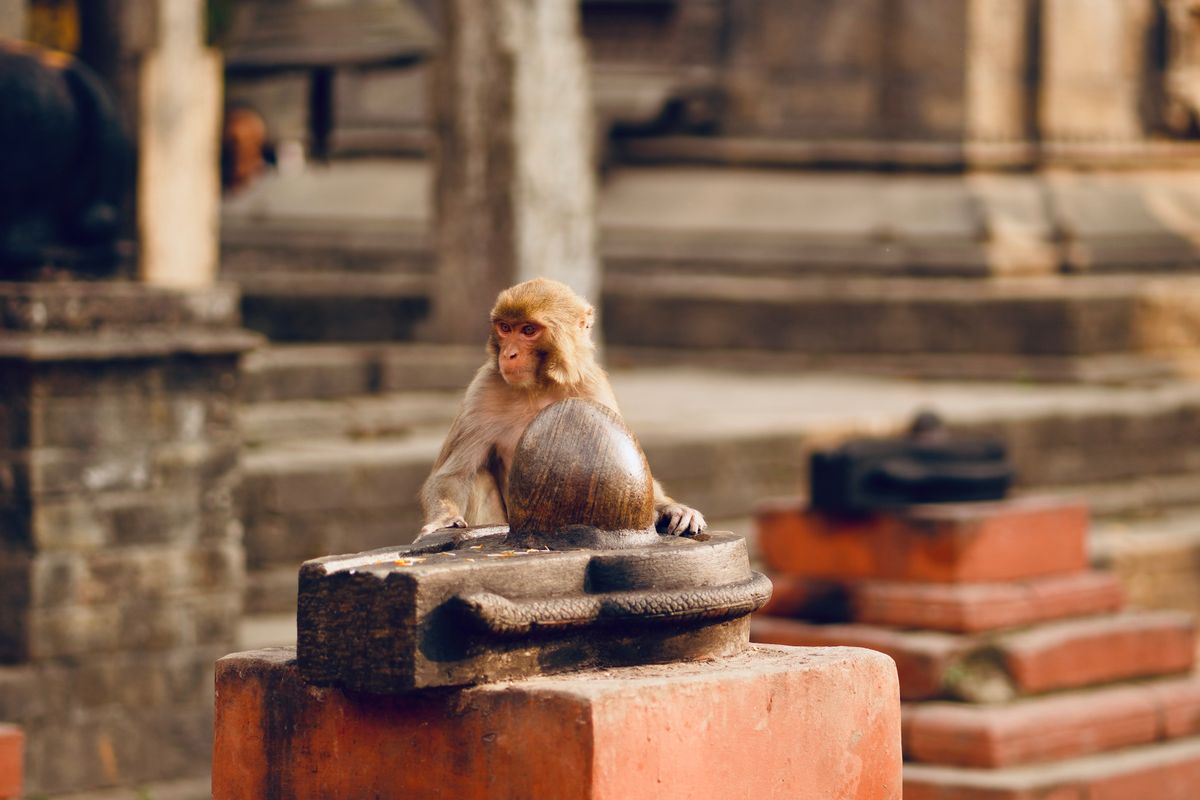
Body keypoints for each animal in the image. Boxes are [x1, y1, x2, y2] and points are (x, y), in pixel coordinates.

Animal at [418, 277, 706, 540]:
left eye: (528, 330)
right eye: (505, 328)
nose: (508, 354)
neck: (539, 386)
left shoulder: (593, 389)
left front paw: (672, 509)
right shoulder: (482, 393)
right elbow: (453, 475)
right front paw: (444, 520)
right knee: (477, 477)